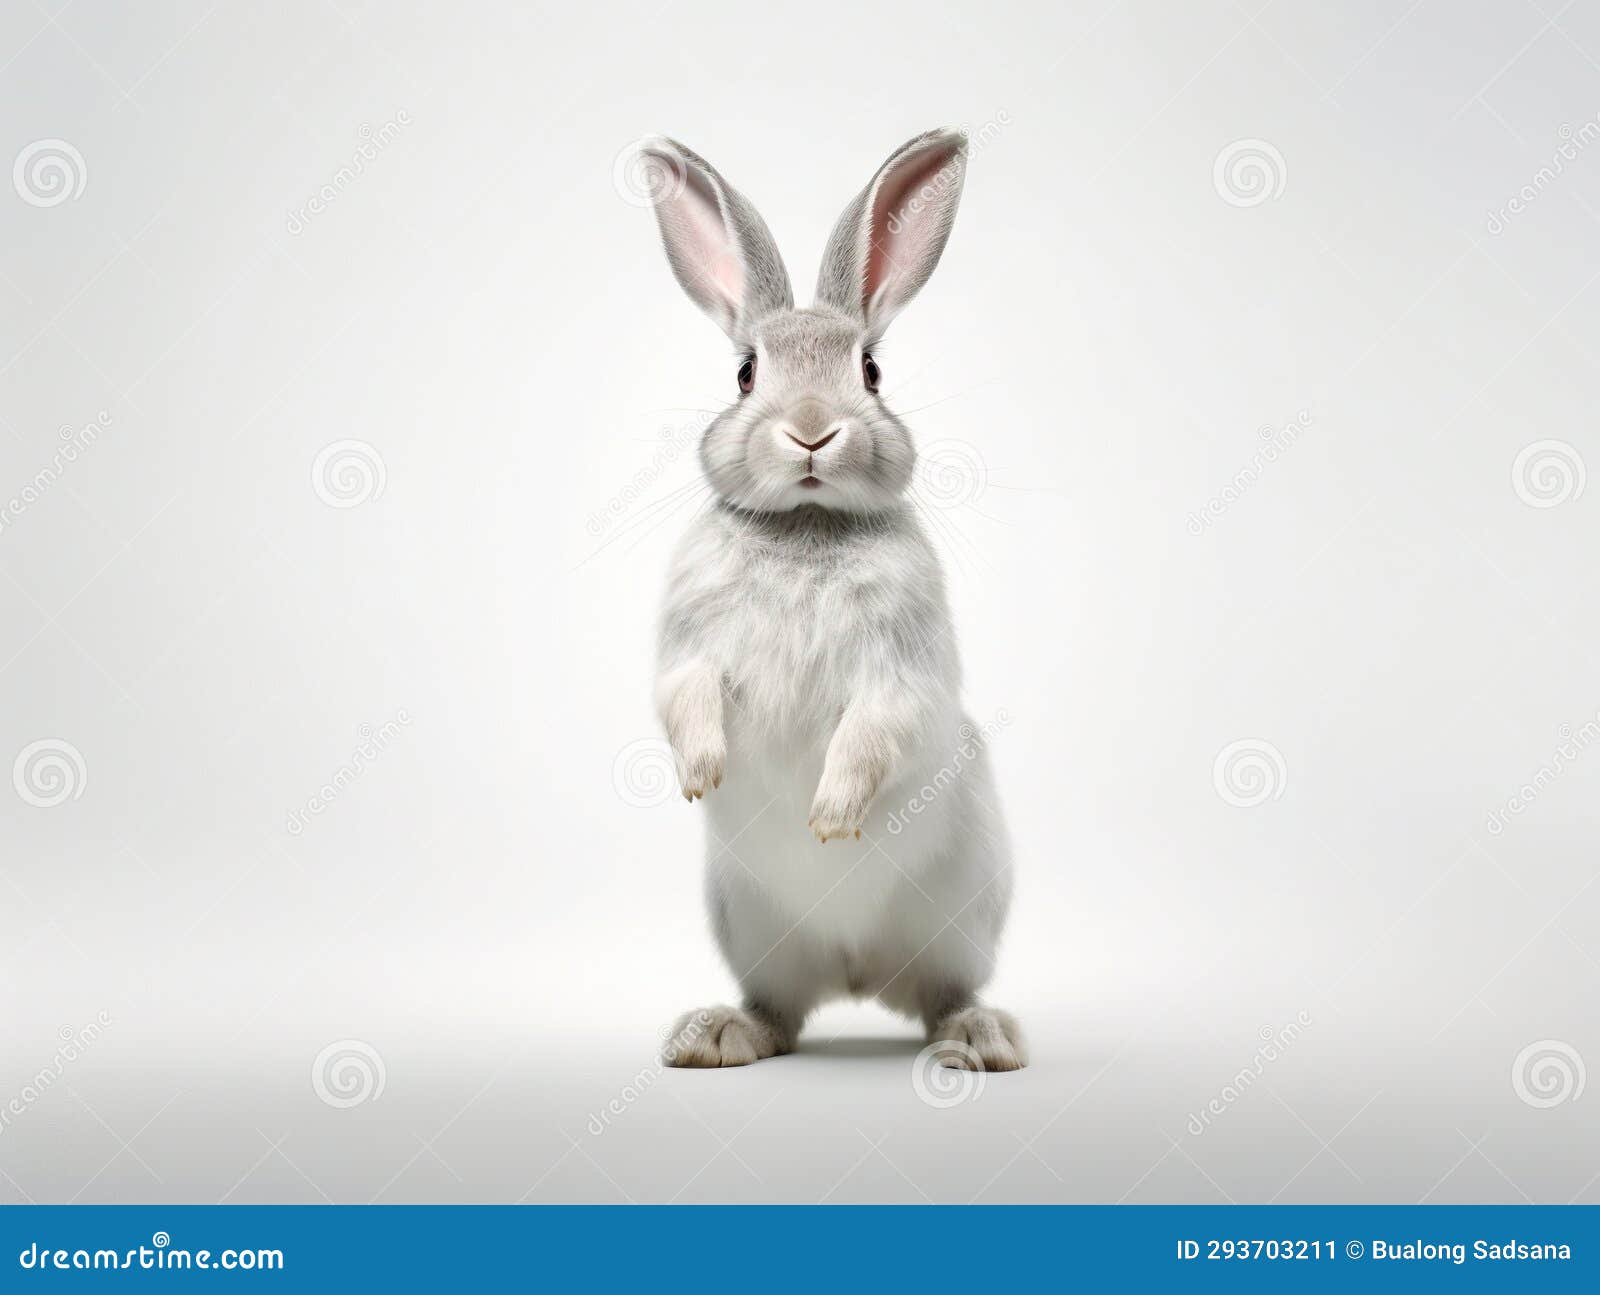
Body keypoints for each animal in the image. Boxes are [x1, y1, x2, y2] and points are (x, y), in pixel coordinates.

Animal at [641, 129, 1025, 1072]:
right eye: (746, 373)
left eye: (872, 370)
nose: (812, 429)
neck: (805, 528)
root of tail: (858, 973)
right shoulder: (686, 648)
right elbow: (684, 695)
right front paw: (702, 772)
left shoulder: (903, 675)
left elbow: (877, 729)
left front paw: (831, 818)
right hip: (753, 929)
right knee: (778, 1011)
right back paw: (714, 1033)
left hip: (960, 920)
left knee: (946, 994)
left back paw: (980, 1040)